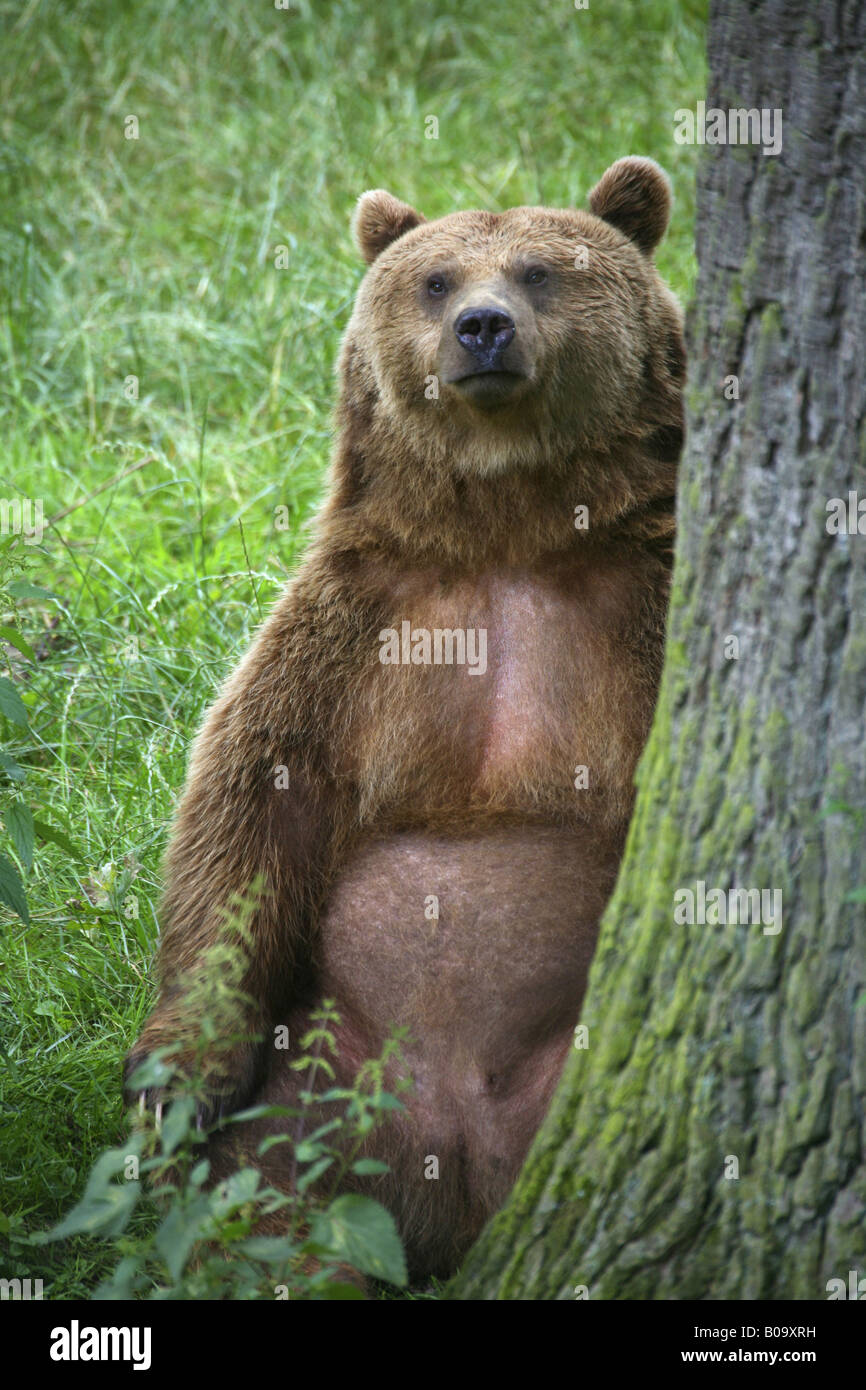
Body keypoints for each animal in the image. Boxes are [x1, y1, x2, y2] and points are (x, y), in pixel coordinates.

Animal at [126, 157, 685, 1280]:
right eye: (433, 279)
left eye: (542, 269)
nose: (482, 326)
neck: (512, 526)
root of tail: (454, 1158)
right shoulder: (359, 631)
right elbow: (248, 806)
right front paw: (174, 1072)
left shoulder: (641, 610)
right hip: (329, 1068)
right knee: (268, 1193)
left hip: (560, 1075)